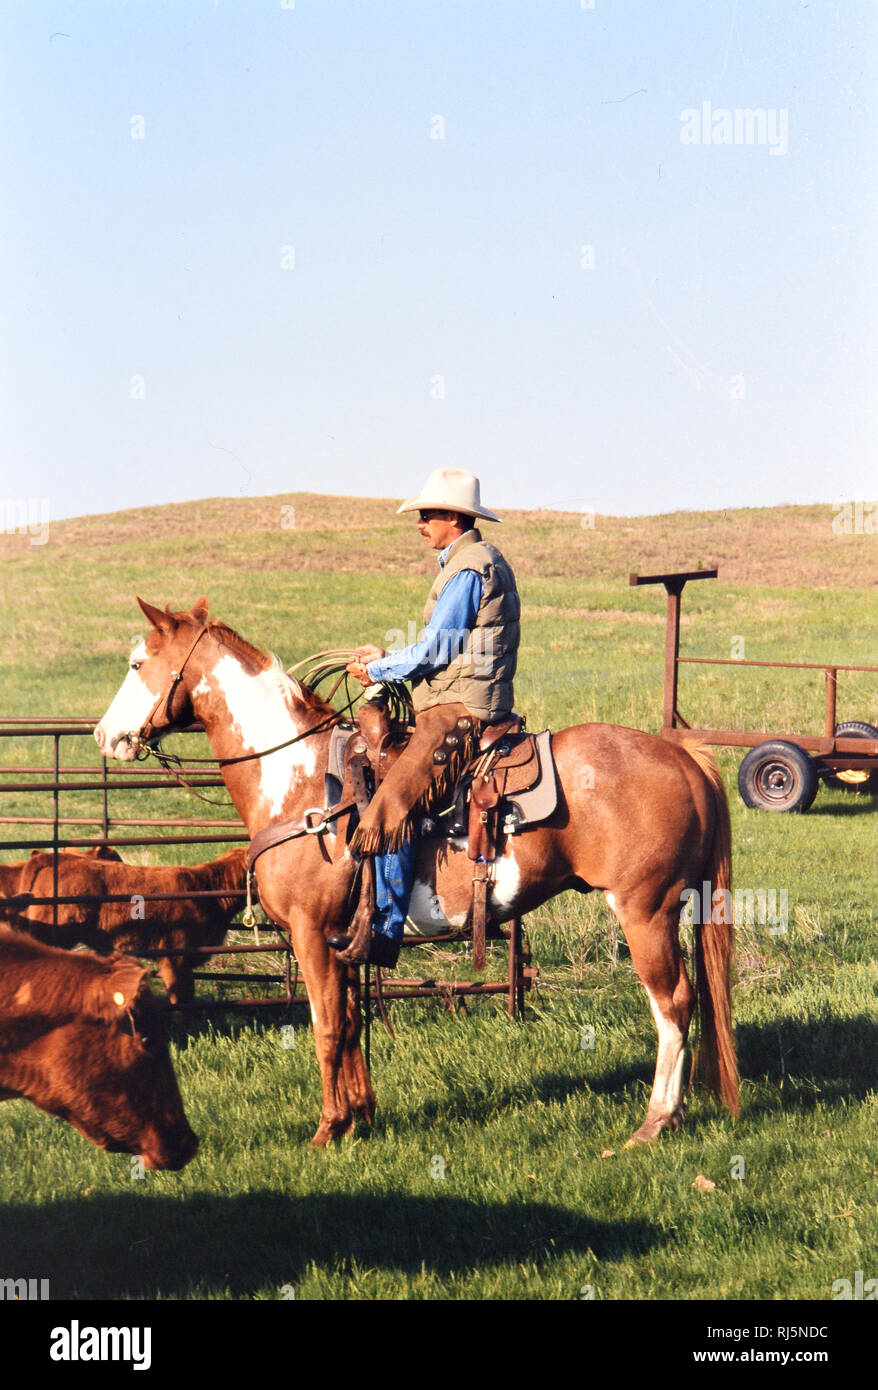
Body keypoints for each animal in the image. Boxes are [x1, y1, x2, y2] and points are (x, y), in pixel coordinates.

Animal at [94, 596, 739, 1147]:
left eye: (137, 663)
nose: (104, 736)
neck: (298, 780)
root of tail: (683, 757)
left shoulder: (309, 933)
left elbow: (325, 1028)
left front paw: (327, 1130)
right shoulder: (342, 941)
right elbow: (350, 1024)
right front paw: (359, 1118)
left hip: (644, 910)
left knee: (672, 1004)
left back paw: (654, 1123)